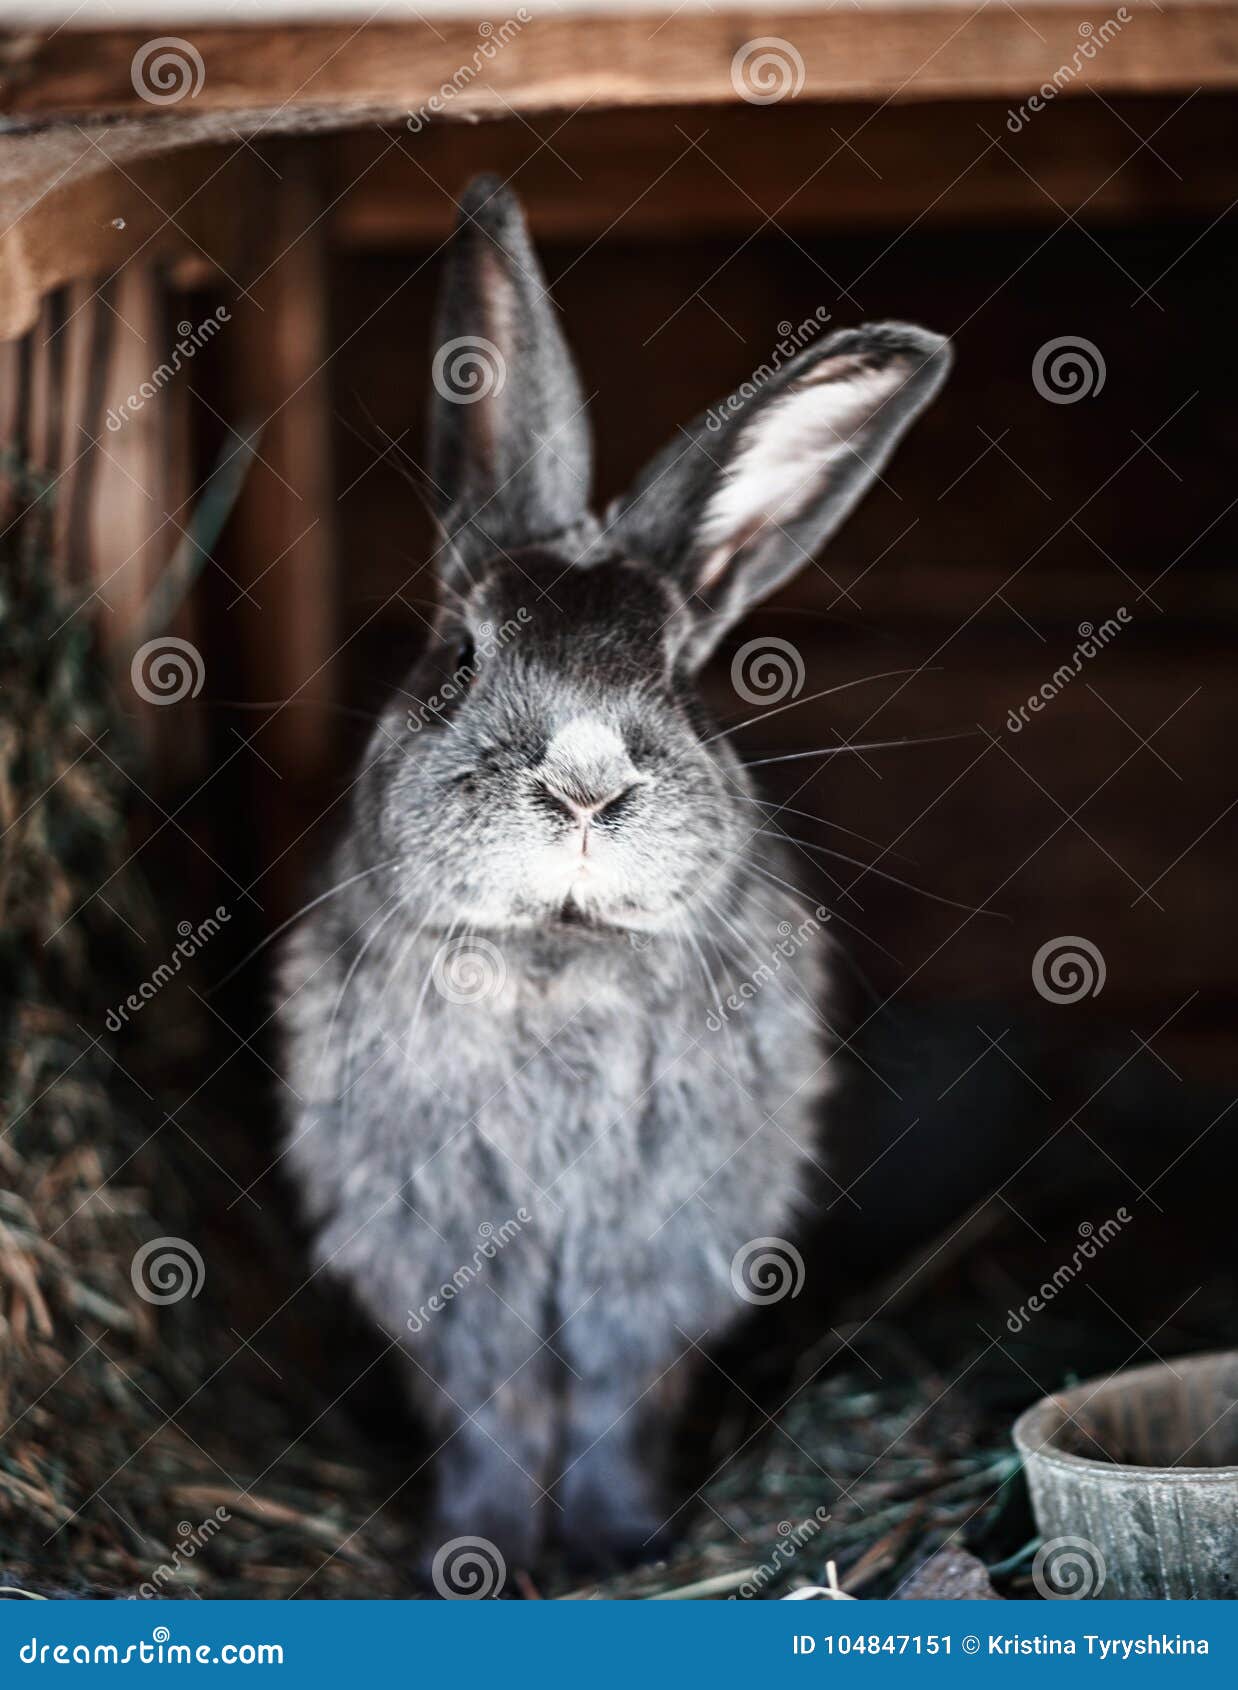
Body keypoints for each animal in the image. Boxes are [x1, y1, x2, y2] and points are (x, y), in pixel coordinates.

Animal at [277, 174, 951, 1580]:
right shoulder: (446, 1257)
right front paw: (472, 1560)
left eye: (684, 680)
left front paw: (616, 1547)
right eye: (455, 659)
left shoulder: (649, 1254)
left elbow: (605, 1396)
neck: (560, 948)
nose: (584, 783)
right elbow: (491, 1407)